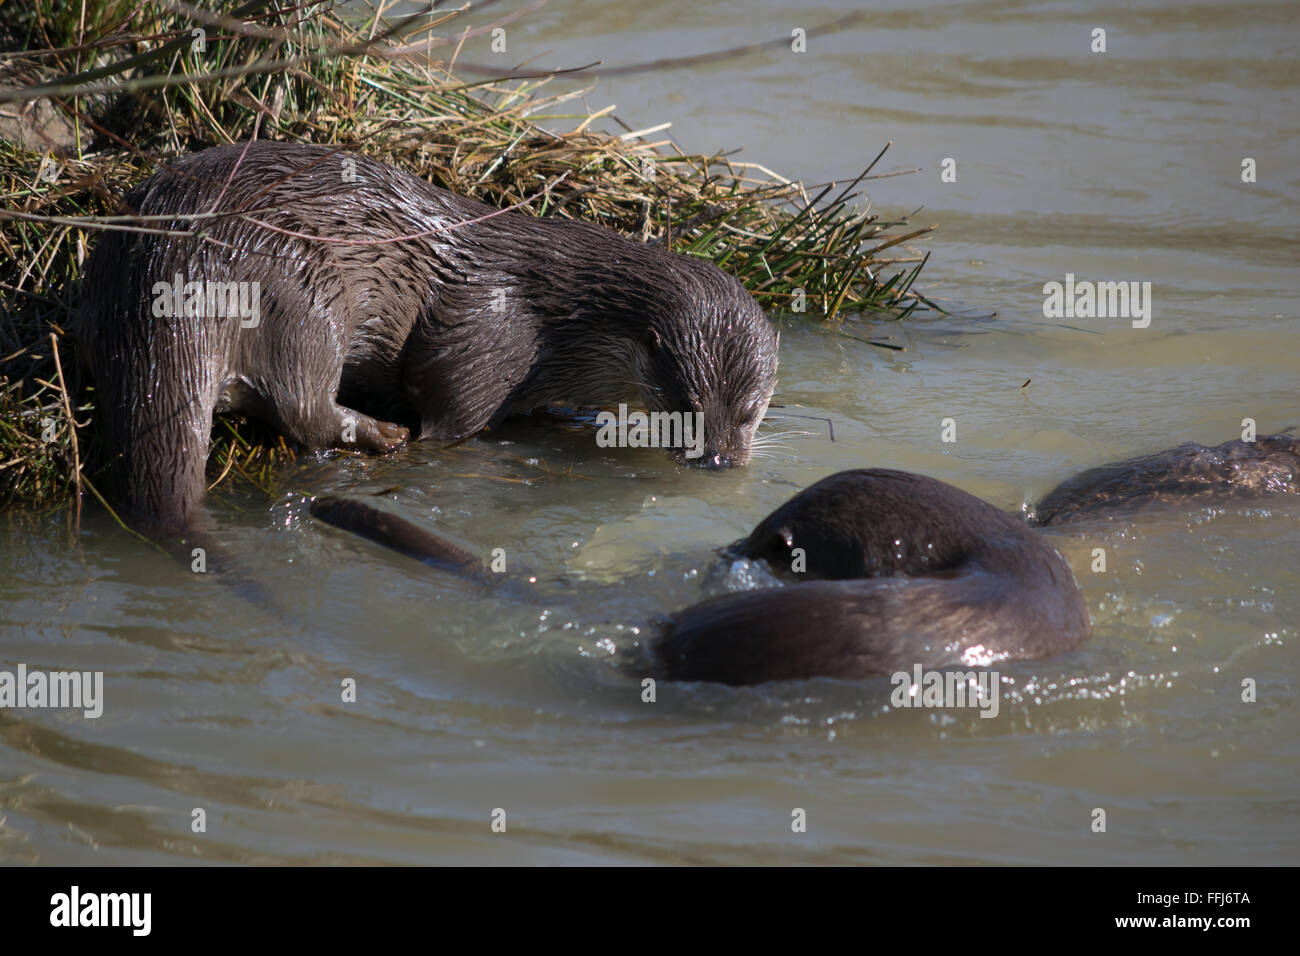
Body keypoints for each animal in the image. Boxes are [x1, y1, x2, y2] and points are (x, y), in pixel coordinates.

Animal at [75, 140, 779, 533]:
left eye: (751, 412)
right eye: (686, 406)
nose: (720, 459)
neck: (559, 320)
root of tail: (173, 262)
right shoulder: (488, 342)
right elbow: (446, 414)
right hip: (304, 292)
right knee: (301, 404)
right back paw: (382, 434)